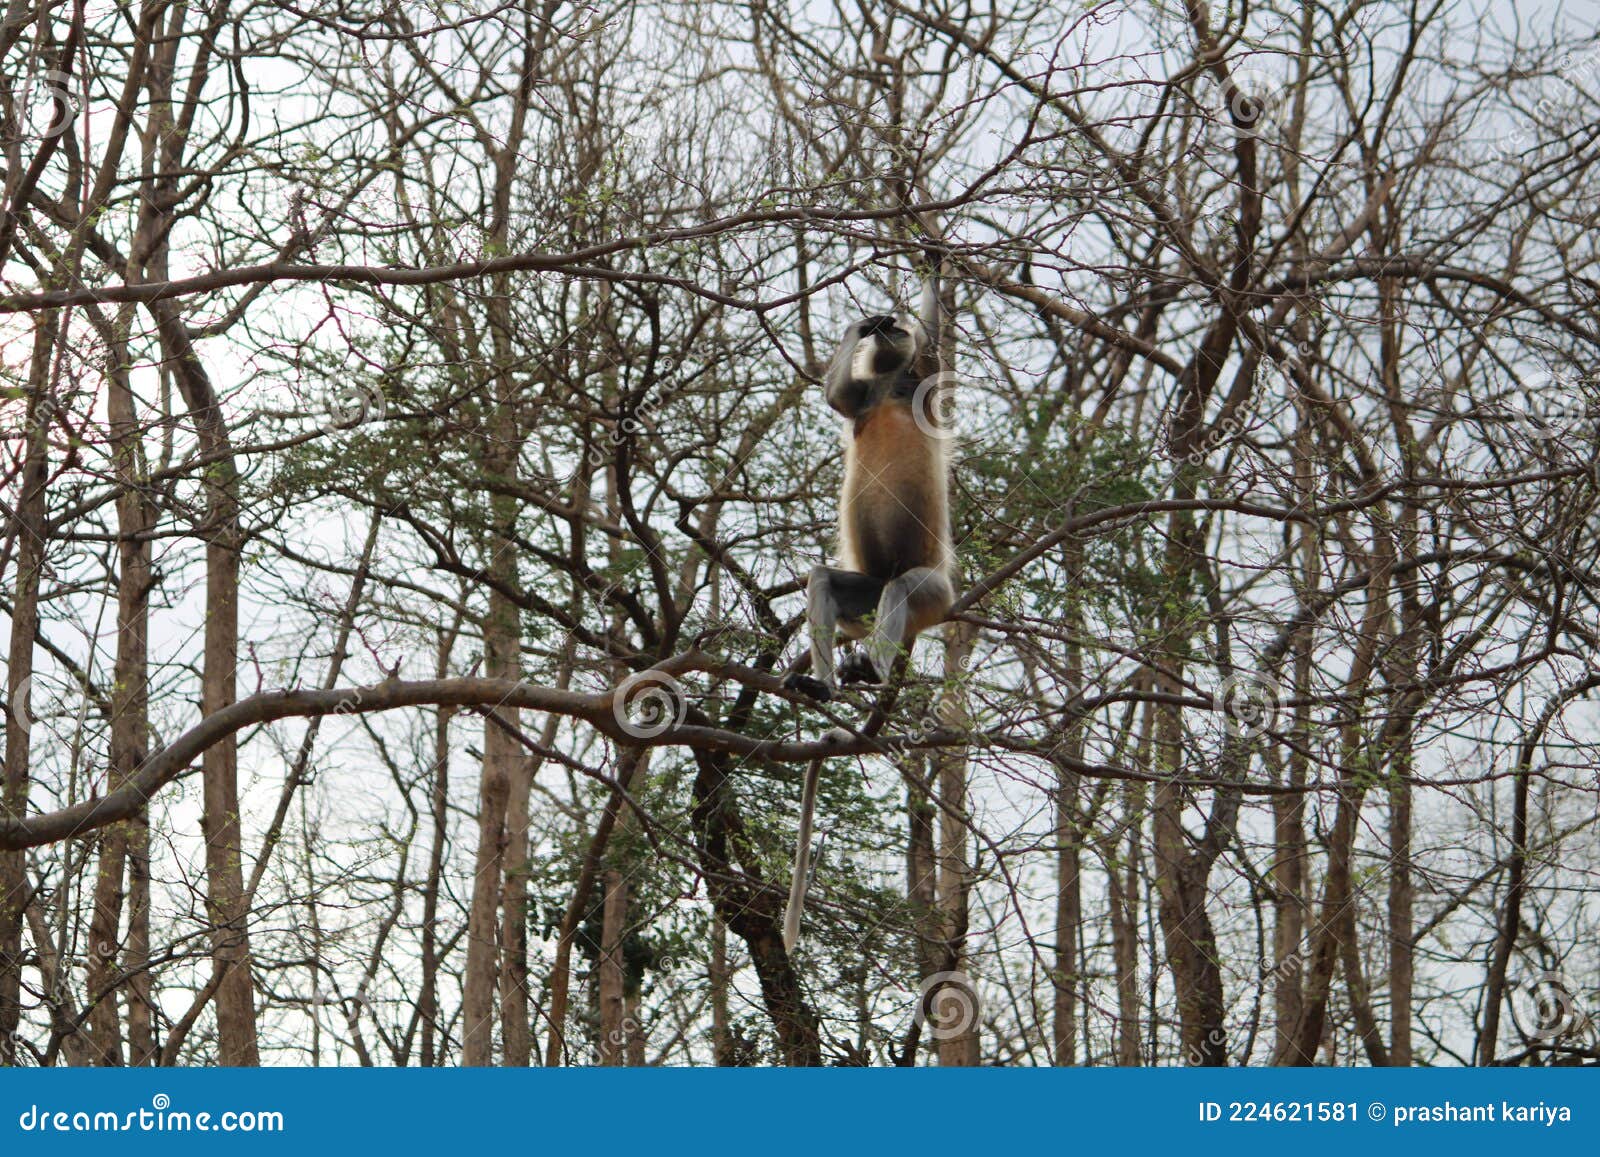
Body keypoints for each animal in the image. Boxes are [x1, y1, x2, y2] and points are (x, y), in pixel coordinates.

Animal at [781, 263, 957, 951]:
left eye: (899, 333)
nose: (887, 327)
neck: (891, 386)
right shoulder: (865, 394)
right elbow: (838, 399)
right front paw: (861, 323)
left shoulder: (927, 376)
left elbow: (939, 337)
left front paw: (933, 265)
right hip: (865, 583)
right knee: (829, 579)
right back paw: (830, 681)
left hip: (937, 594)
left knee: (903, 589)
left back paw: (874, 669)